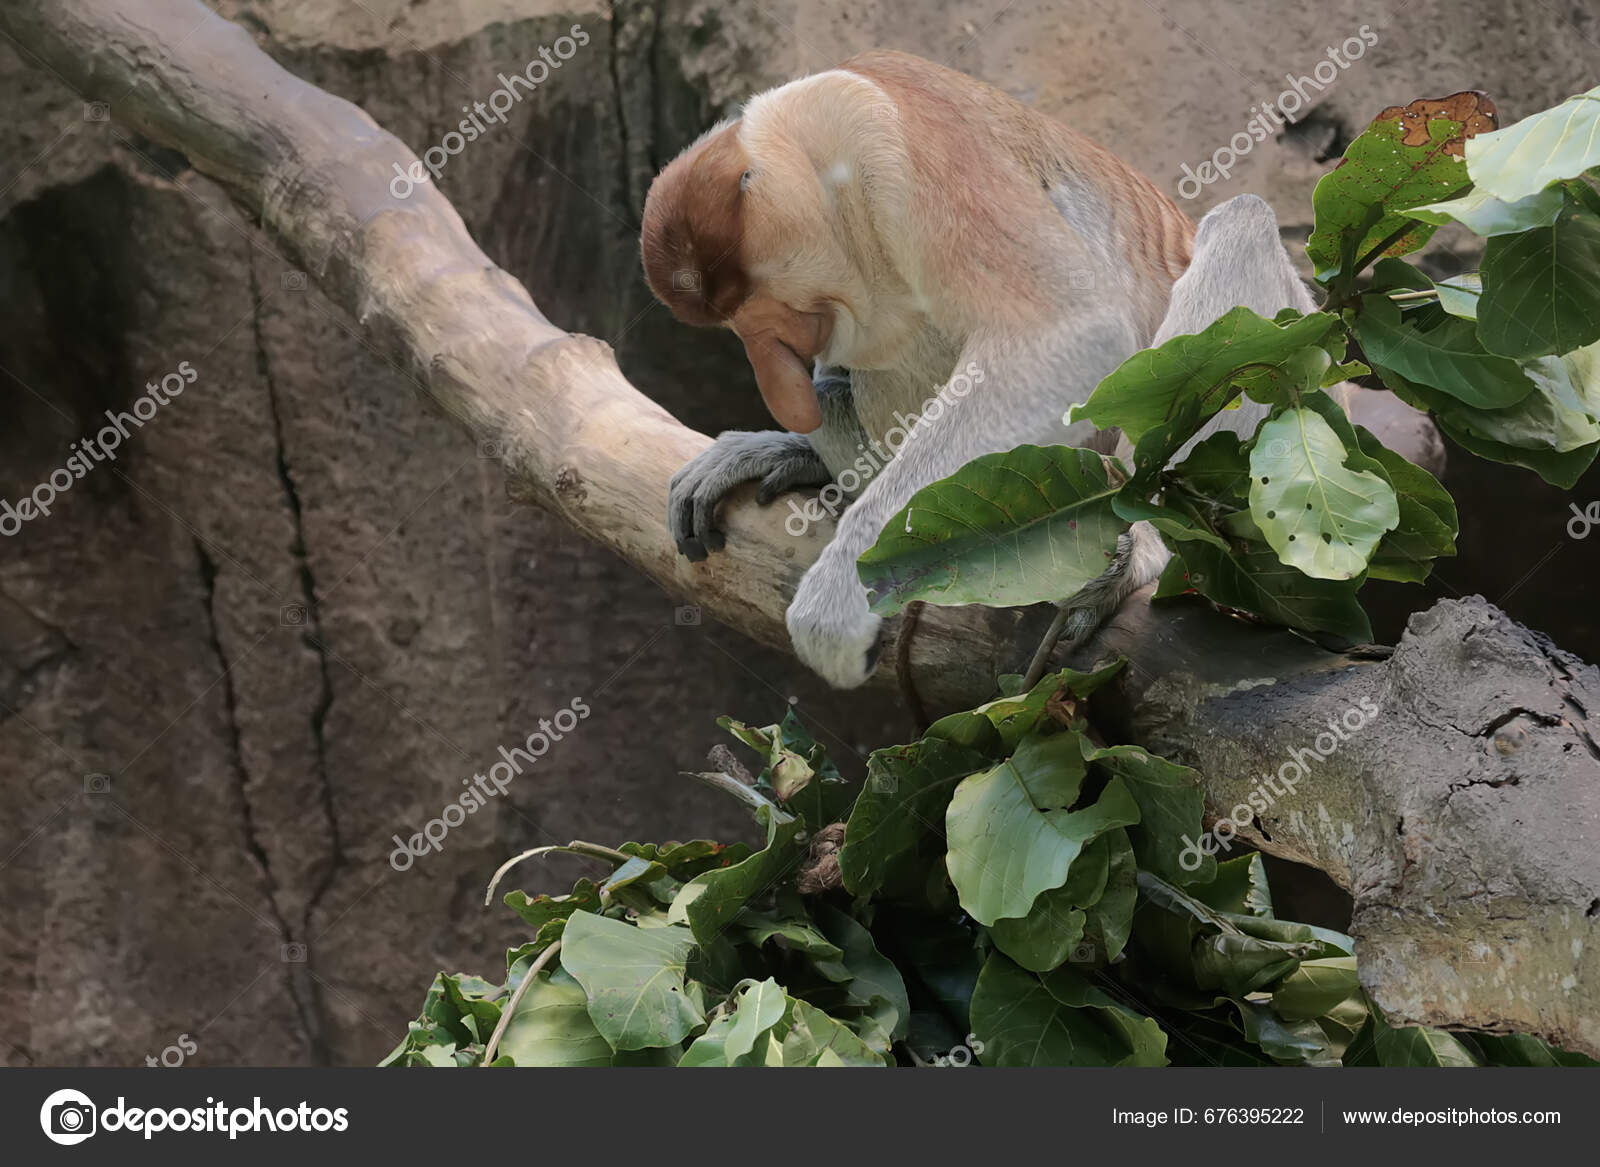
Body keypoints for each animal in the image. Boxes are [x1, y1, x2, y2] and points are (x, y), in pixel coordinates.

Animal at [642, 50, 1438, 689]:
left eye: (761, 316)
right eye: (739, 329)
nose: (775, 381)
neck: (817, 154)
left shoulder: (902, 143)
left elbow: (1068, 332)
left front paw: (842, 599)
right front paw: (775, 447)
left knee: (1240, 222)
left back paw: (1141, 554)